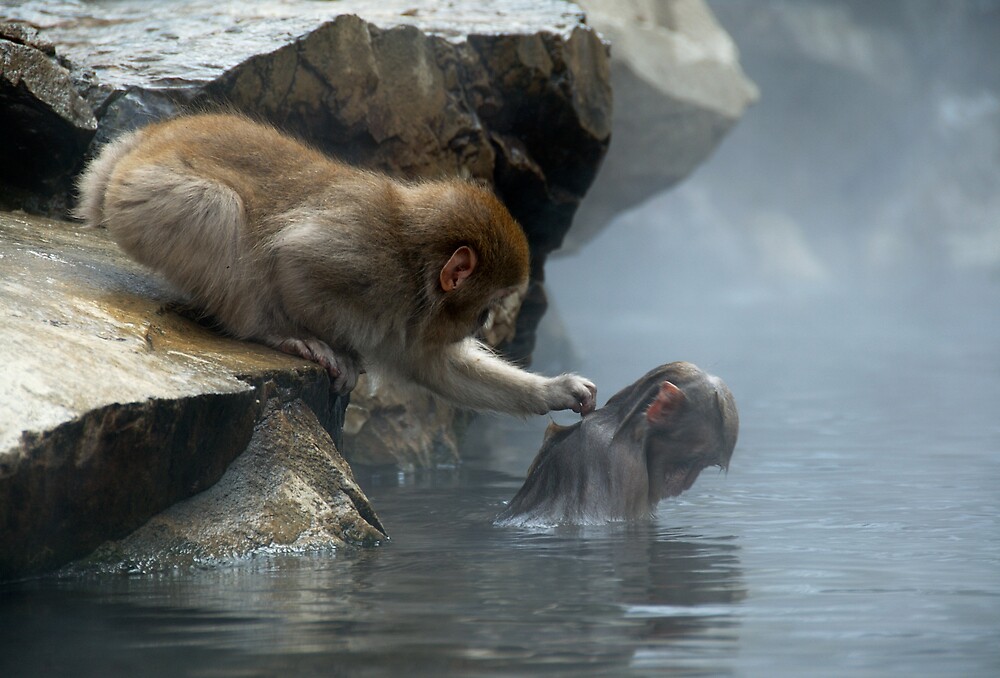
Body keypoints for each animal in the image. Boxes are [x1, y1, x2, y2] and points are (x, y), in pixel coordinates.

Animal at [75, 113, 597, 416]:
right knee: (216, 207)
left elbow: (430, 364)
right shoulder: (366, 261)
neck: (414, 265)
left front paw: (556, 391)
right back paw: (269, 331)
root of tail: (140, 146)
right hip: (143, 200)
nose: (481, 325)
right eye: (487, 306)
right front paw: (332, 345)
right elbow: (294, 260)